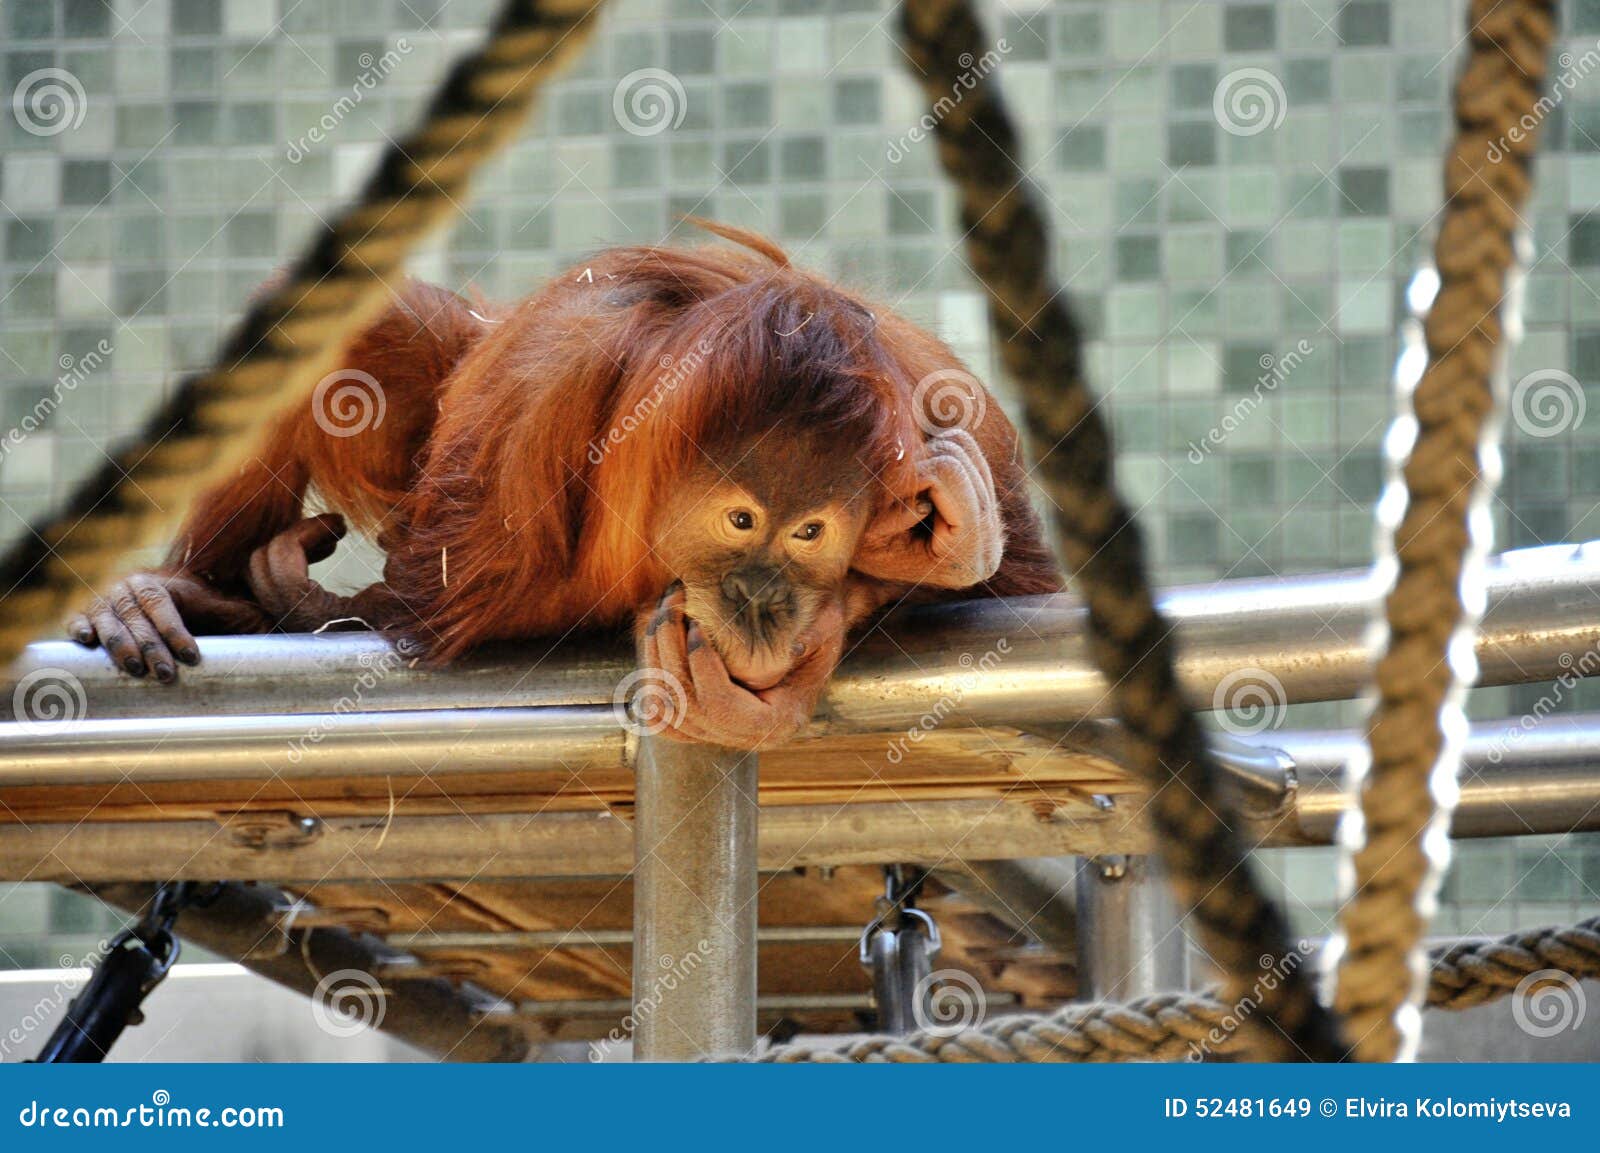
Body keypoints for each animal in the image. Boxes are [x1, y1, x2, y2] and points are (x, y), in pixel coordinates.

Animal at [69, 222, 1062, 749]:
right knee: (332, 326)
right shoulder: (540, 387)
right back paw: (188, 590)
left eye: (808, 534)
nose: (764, 601)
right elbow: (434, 609)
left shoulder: (941, 402)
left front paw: (910, 561)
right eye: (743, 521)